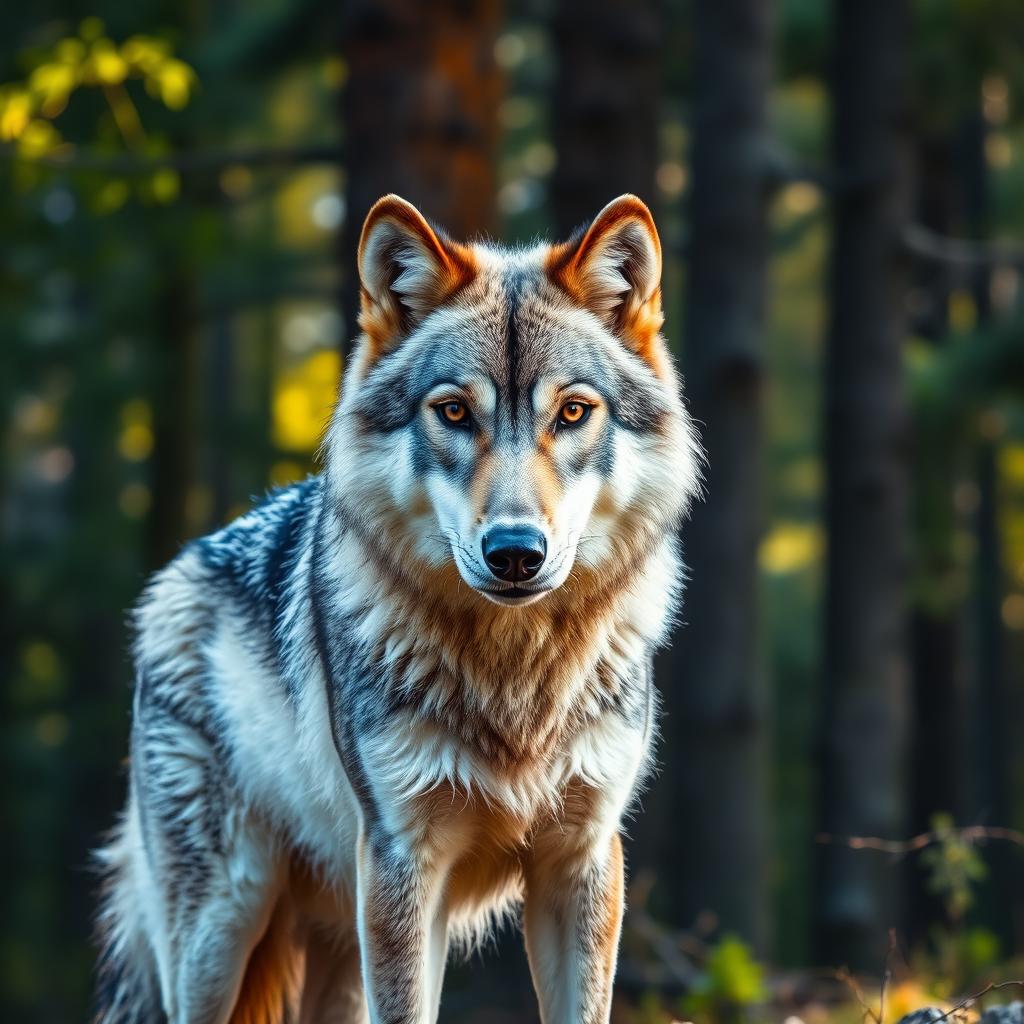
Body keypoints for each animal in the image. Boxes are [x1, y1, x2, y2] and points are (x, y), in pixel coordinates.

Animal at [93, 193, 701, 1024]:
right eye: (454, 412)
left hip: (335, 955)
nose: (516, 551)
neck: (515, 680)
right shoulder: (402, 864)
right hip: (222, 929)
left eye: (574, 412)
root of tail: (178, 571)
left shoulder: (582, 859)